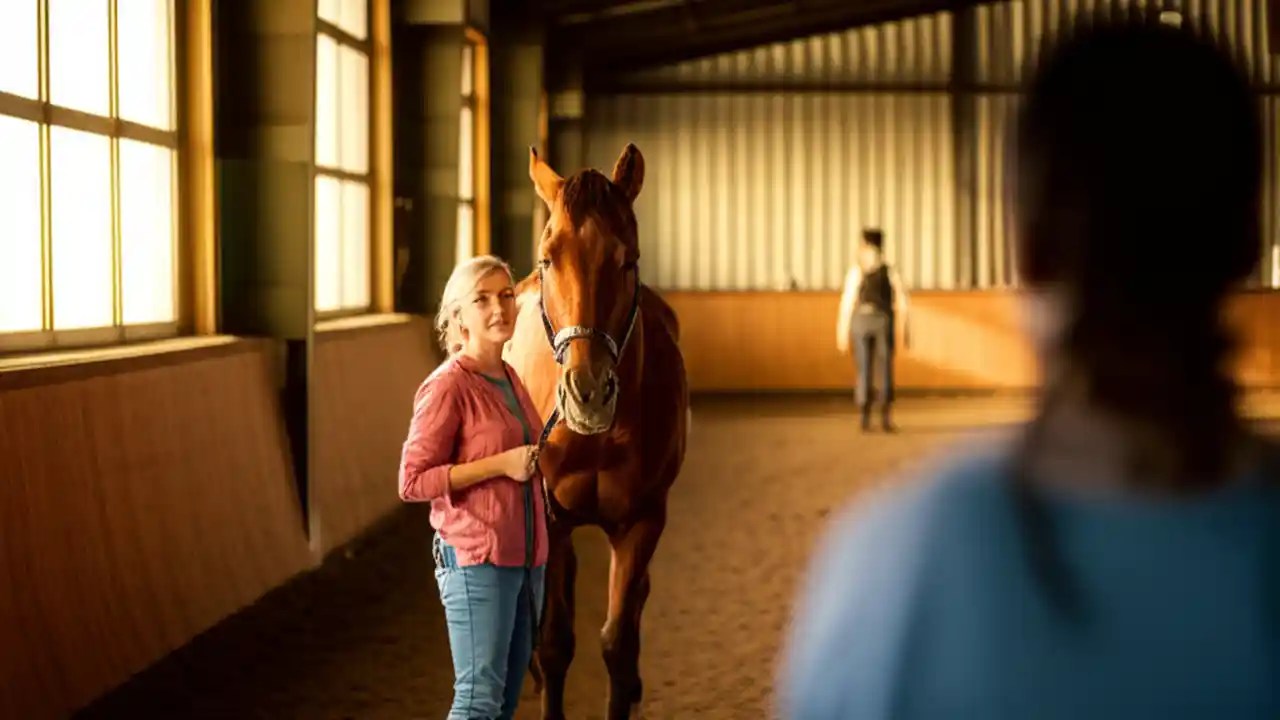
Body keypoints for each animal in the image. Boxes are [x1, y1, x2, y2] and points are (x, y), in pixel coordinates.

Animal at [503, 143, 689, 720]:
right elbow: (556, 642)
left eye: (628, 260)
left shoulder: (642, 521)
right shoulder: (552, 519)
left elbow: (617, 643)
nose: (587, 393)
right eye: (547, 259)